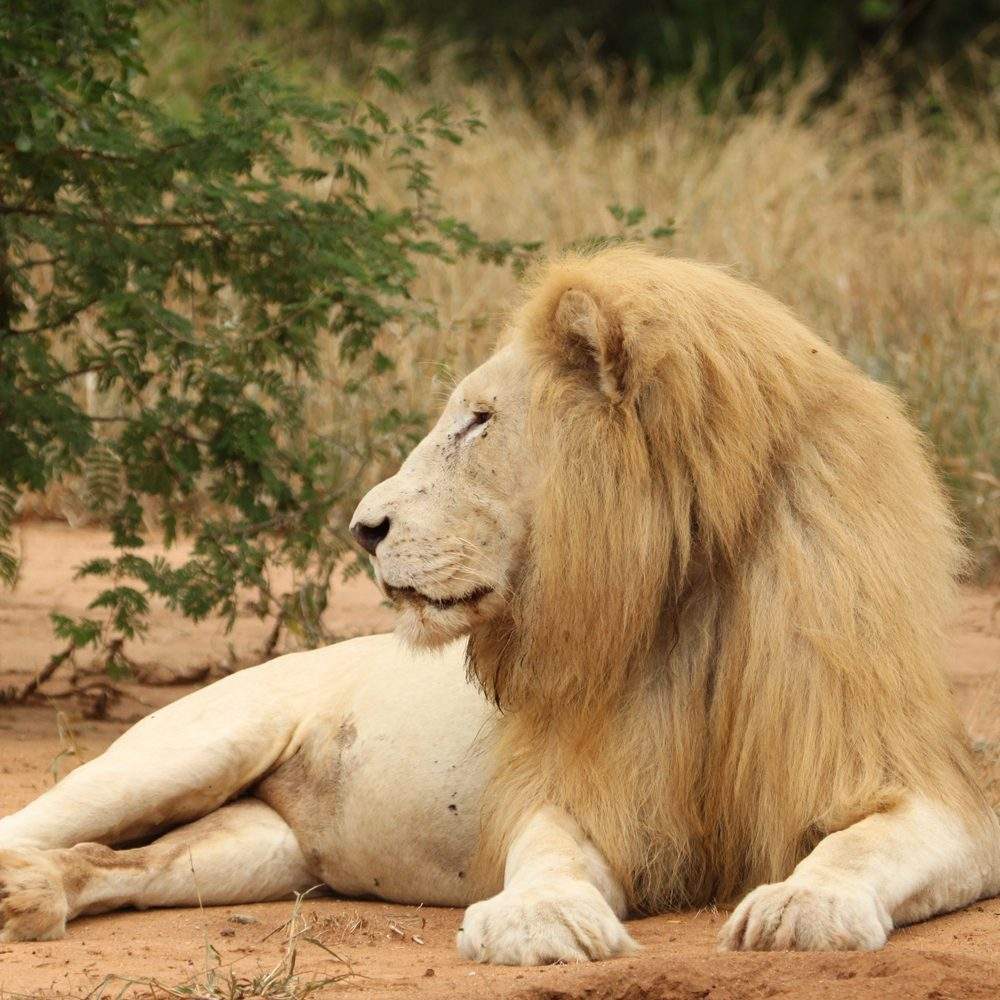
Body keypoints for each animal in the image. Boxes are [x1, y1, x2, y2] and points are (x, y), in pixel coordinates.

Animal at [0, 246, 997, 962]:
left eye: (478, 421)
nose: (361, 528)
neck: (690, 592)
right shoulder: (578, 786)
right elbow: (547, 852)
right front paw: (538, 922)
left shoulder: (937, 800)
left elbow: (859, 844)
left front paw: (801, 902)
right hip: (187, 749)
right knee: (48, 822)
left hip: (260, 850)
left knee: (113, 861)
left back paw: (31, 896)